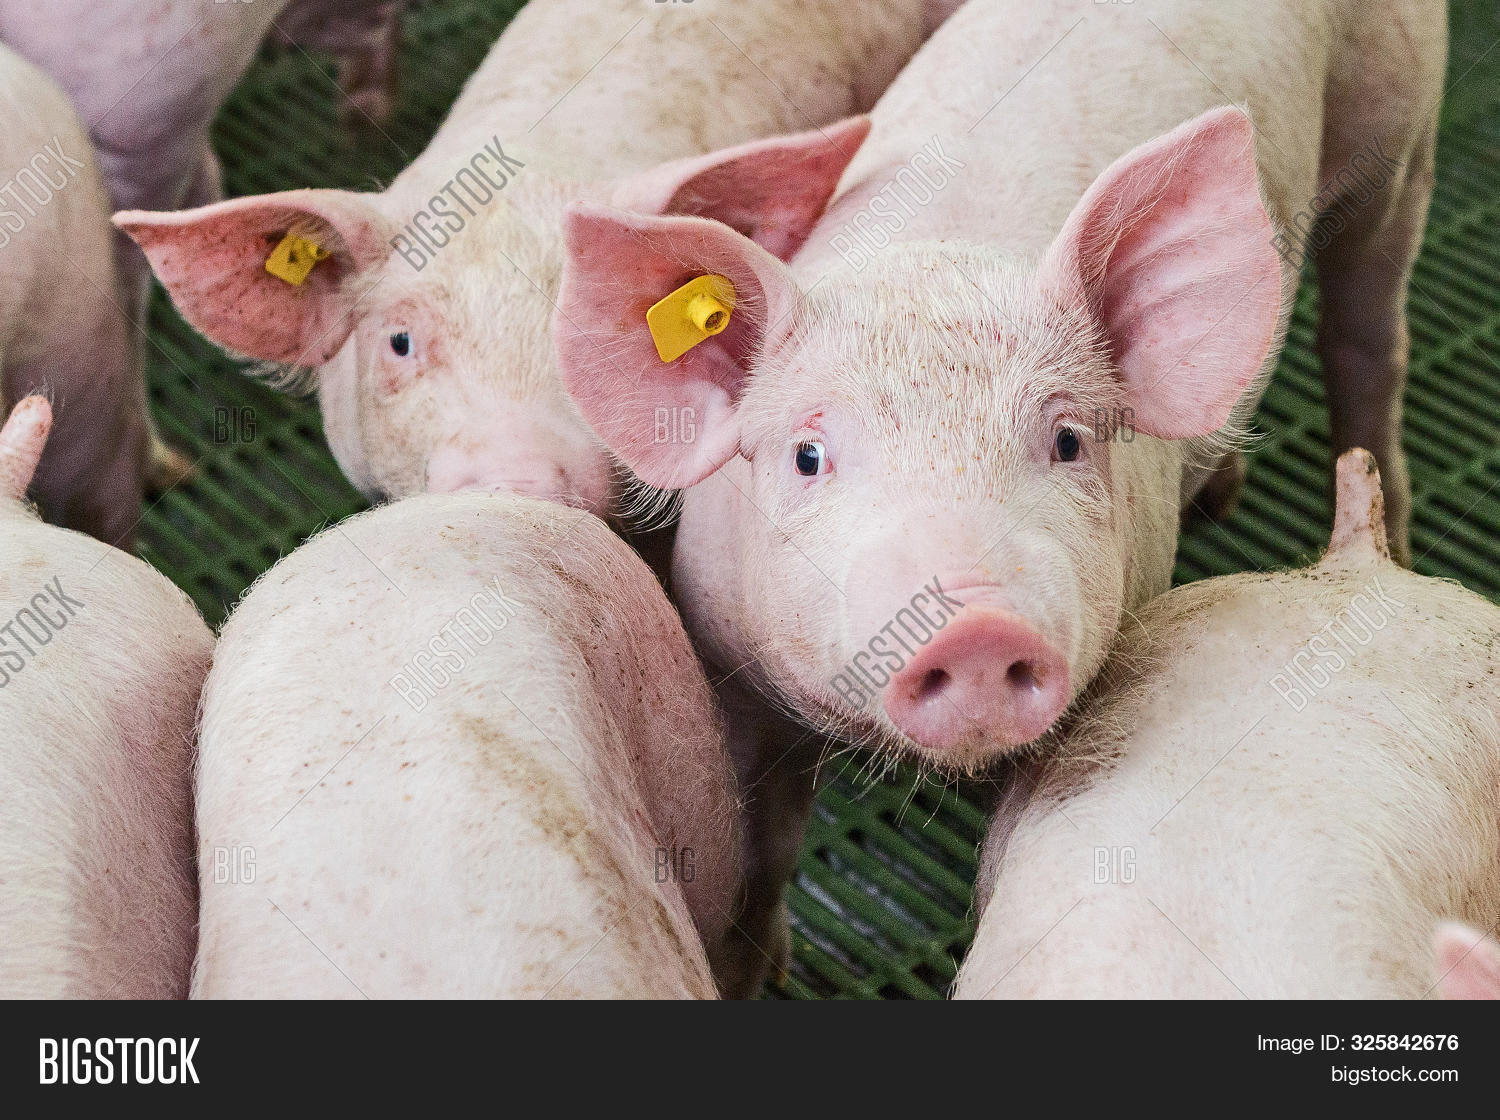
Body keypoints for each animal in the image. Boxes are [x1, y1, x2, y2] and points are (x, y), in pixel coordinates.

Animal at [551, 0, 1445, 990]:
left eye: (1068, 441)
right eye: (808, 456)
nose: (974, 624)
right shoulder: (731, 669)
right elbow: (766, 852)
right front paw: (762, 976)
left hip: (1400, 124)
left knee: (1369, 334)